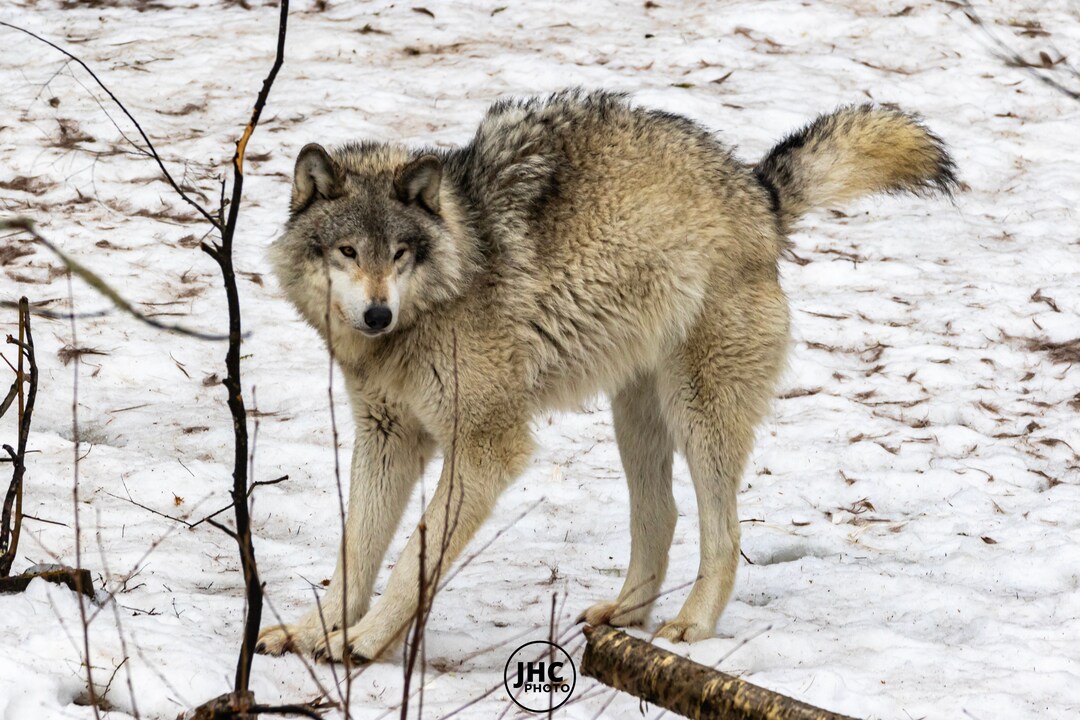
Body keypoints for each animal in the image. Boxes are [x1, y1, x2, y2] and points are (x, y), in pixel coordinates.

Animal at [257, 90, 955, 663]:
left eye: (400, 254)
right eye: (348, 252)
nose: (376, 313)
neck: (439, 295)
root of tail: (758, 191)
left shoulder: (485, 447)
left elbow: (412, 561)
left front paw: (363, 640)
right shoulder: (387, 437)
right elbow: (354, 551)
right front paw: (311, 630)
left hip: (697, 413)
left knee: (725, 533)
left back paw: (690, 626)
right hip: (635, 417)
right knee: (662, 516)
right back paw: (626, 613)